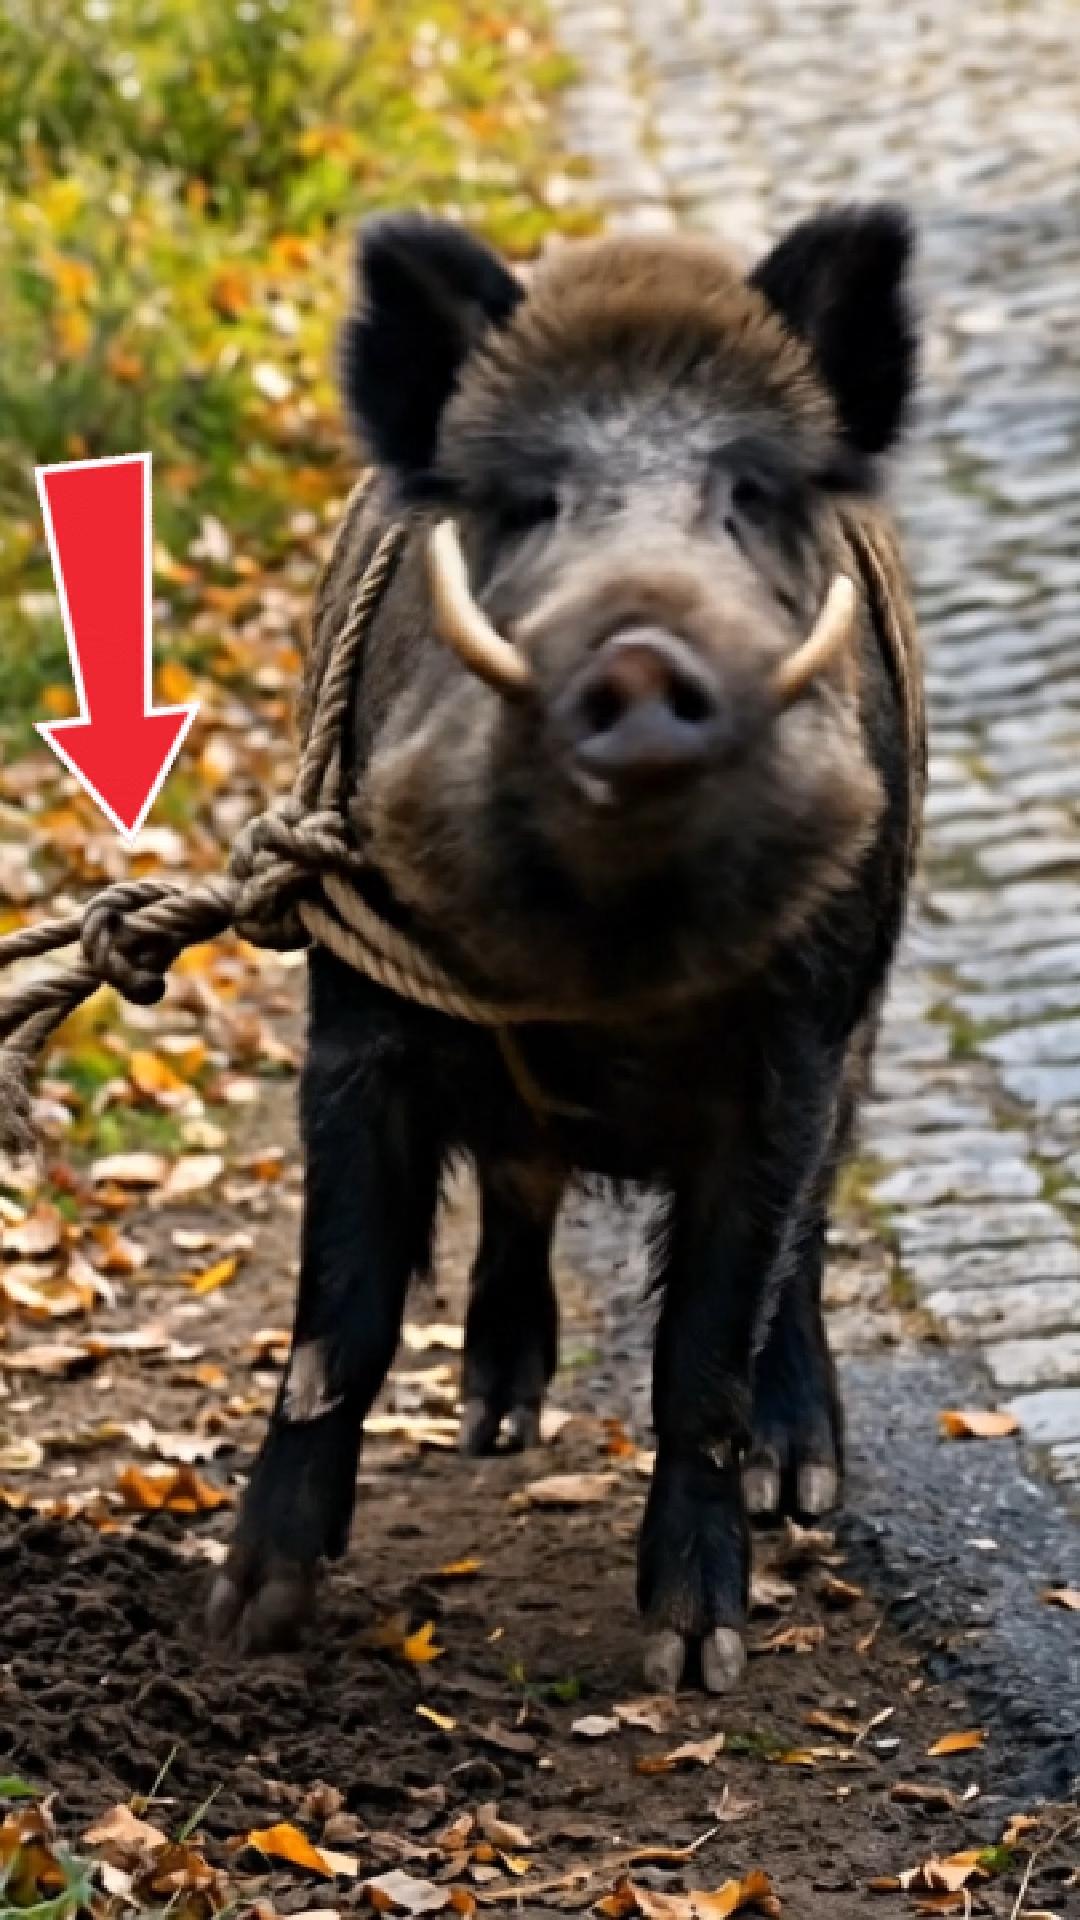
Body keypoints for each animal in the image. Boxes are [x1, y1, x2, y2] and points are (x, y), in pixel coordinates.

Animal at [208, 207, 923, 1691]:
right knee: (520, 1181)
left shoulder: (795, 1042)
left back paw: (800, 1485)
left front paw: (697, 1661)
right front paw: (248, 1620)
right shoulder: (353, 1023)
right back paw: (495, 1424)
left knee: (809, 1236)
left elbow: (706, 1342)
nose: (641, 655)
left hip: (864, 1026)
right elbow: (337, 1321)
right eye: (525, 501)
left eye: (752, 495)